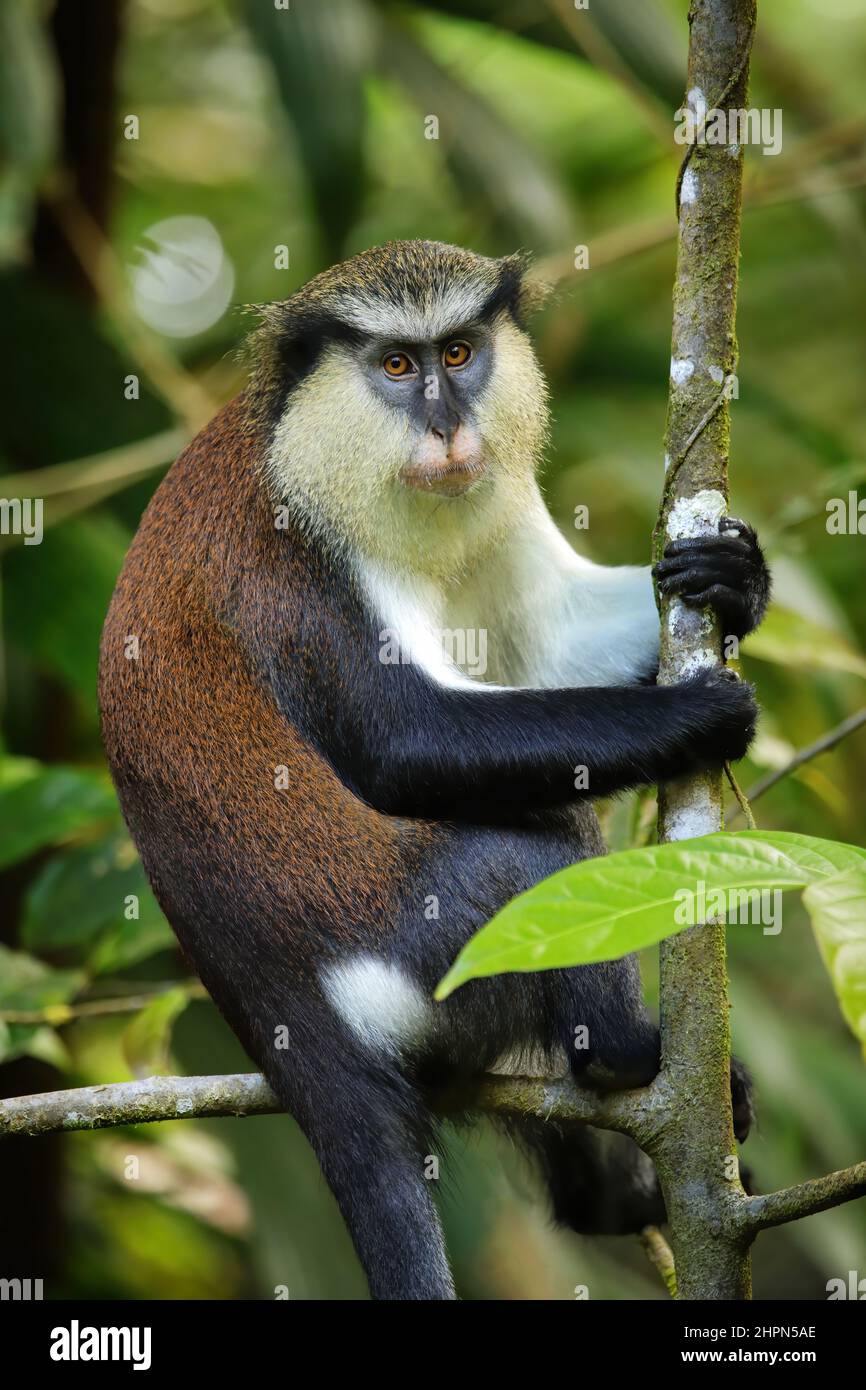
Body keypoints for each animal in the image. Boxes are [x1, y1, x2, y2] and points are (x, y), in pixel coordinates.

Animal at [99, 240, 769, 1301]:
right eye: (396, 366)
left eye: (458, 352)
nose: (449, 424)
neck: (305, 439)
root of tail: (295, 1023)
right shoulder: (297, 563)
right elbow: (407, 742)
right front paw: (694, 717)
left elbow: (554, 643)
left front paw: (735, 579)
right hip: (433, 948)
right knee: (541, 847)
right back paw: (623, 1059)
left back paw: (607, 1196)